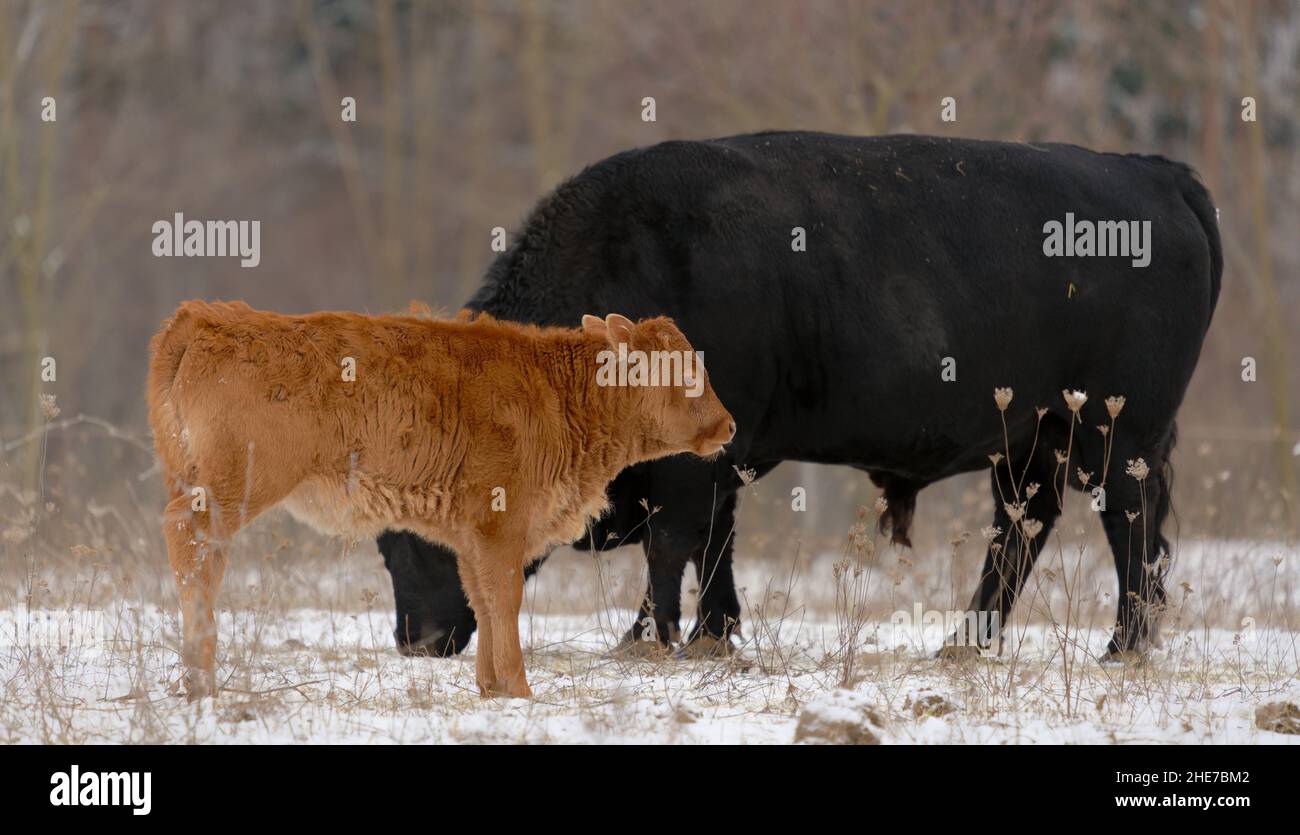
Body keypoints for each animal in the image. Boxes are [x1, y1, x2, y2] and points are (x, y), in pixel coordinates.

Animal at [147, 301, 735, 698]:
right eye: (684, 370)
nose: (729, 425)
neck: (560, 391)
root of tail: (207, 318)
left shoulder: (472, 537)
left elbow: (483, 601)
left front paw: (492, 688)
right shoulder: (501, 527)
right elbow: (505, 599)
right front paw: (520, 689)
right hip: (230, 490)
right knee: (190, 544)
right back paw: (201, 677)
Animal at [382, 132, 1222, 663]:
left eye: (425, 529)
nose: (416, 640)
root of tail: (1156, 174)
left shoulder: (690, 467)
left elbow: (674, 545)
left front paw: (654, 639)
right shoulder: (720, 459)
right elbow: (713, 546)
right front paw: (710, 634)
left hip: (1115, 437)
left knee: (1129, 531)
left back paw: (1119, 648)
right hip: (1030, 442)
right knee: (1024, 532)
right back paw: (962, 646)